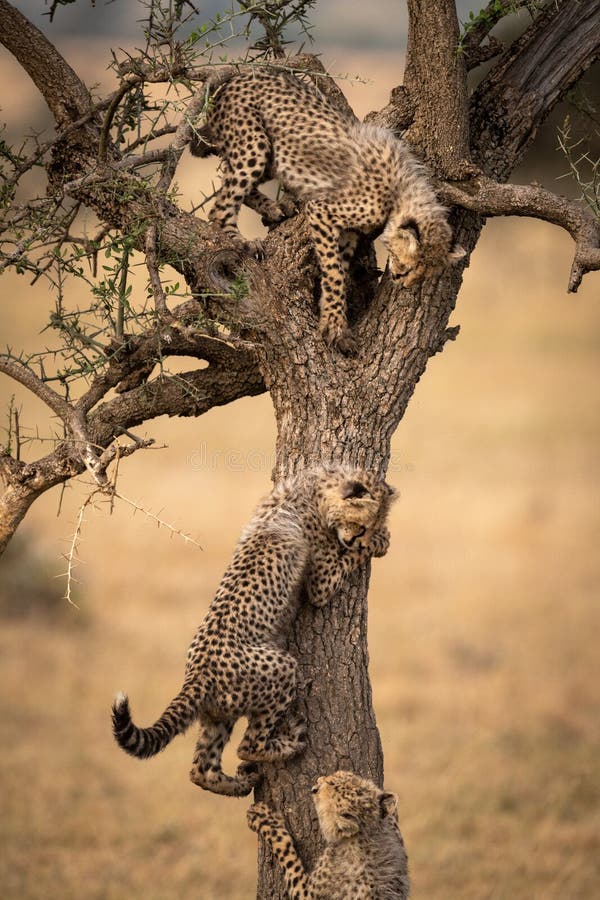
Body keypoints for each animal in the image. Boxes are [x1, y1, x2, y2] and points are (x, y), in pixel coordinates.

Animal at [112, 466, 396, 797]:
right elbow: (346, 562)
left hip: (218, 713)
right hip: (282, 668)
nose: (353, 539)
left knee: (201, 769)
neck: (313, 490)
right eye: (361, 526)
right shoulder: (321, 582)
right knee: (248, 746)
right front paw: (379, 542)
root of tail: (196, 674)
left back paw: (242, 784)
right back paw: (289, 744)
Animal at [190, 68, 465, 354]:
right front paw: (335, 327)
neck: (400, 194)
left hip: (271, 155)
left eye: (423, 274)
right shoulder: (321, 210)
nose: (403, 282)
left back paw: (275, 207)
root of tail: (235, 79)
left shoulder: (350, 232)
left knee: (233, 182)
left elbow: (339, 268)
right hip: (254, 144)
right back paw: (240, 240)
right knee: (221, 205)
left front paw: (329, 316)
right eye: (411, 267)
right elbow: (334, 273)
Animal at [247, 770, 410, 899]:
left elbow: (286, 851)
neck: (365, 834)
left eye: (329, 785)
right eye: (335, 778)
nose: (314, 787)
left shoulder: (309, 894)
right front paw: (386, 803)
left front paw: (261, 817)